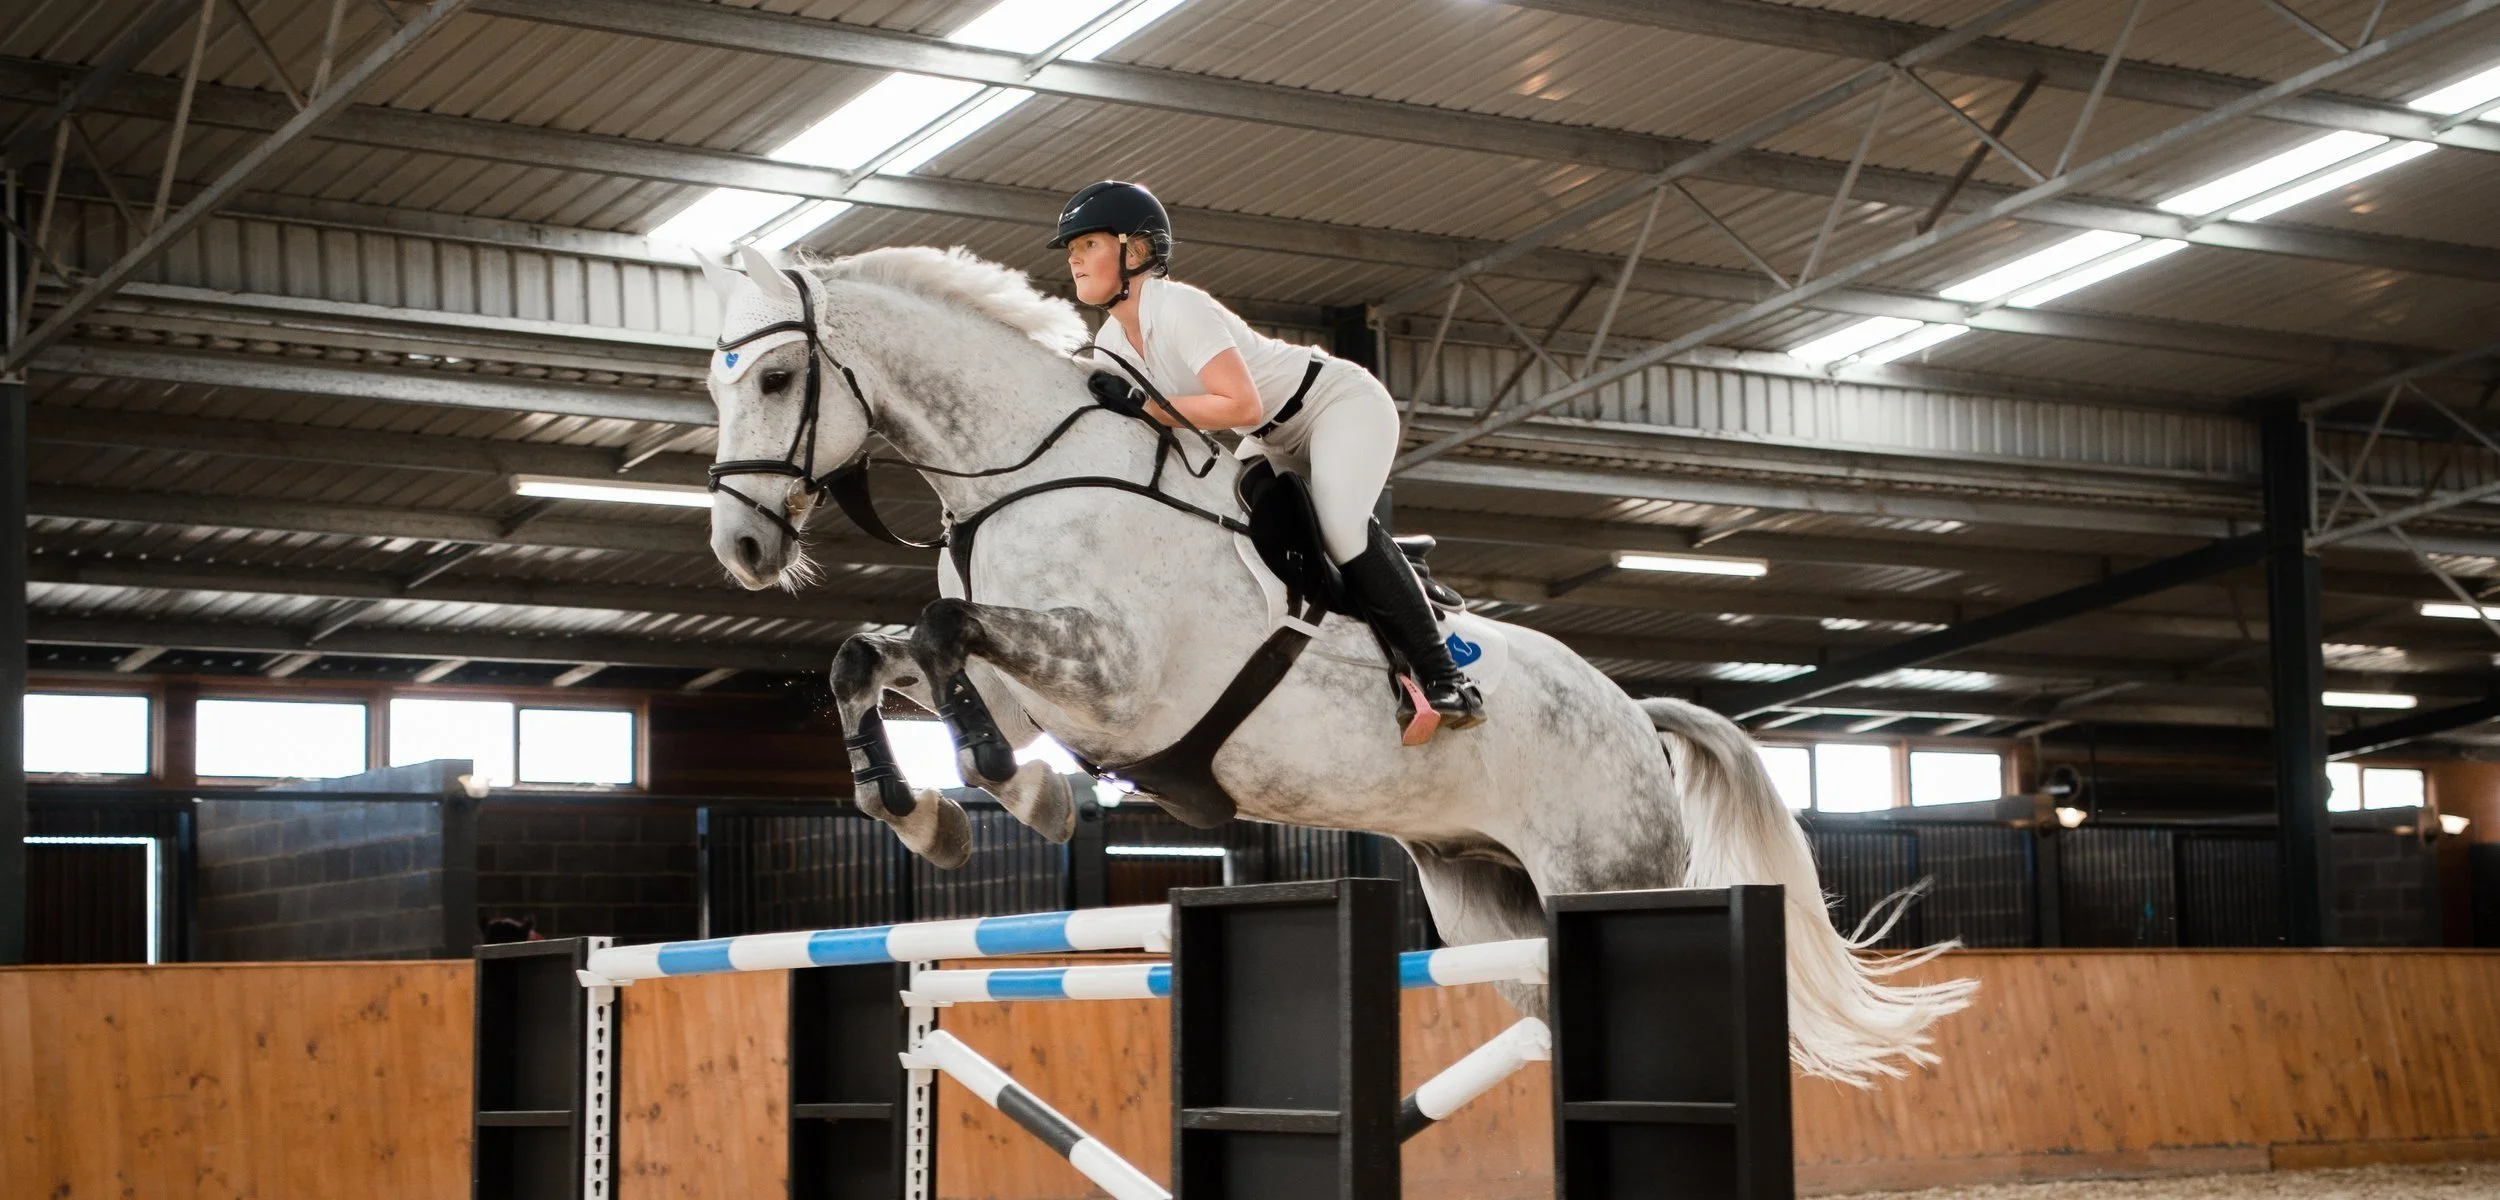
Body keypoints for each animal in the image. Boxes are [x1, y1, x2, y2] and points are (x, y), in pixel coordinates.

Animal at [695, 243, 1973, 1084]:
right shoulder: (1032, 679)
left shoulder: (1112, 676)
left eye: (773, 379)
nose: (741, 549)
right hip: (1487, 907)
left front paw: (1028, 796)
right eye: (716, 380)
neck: (1029, 467)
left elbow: (942, 636)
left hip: (1611, 883)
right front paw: (919, 814)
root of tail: (1632, 717)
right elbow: (875, 655)